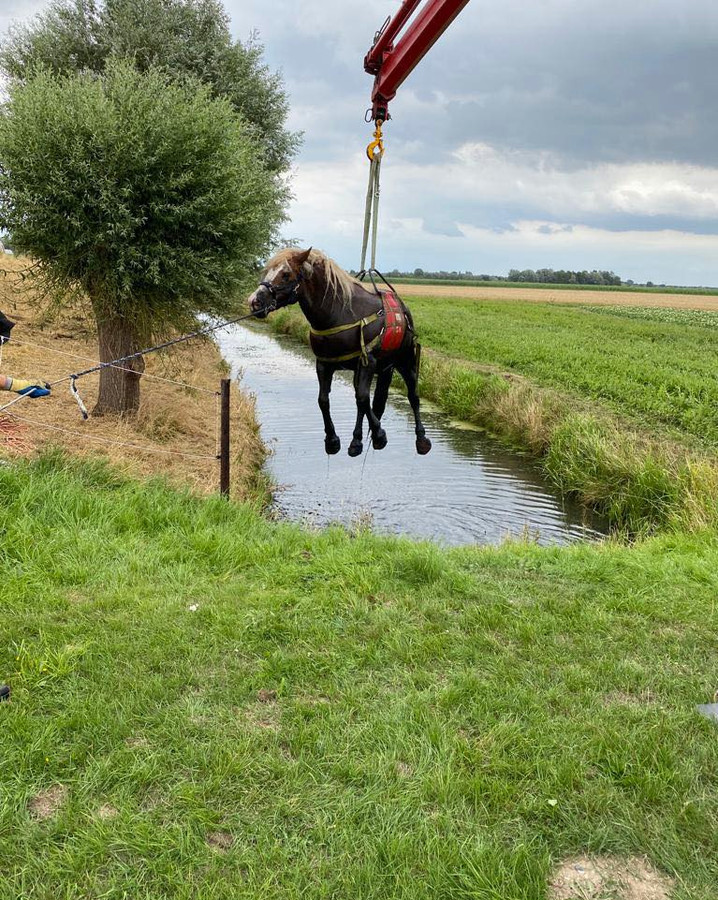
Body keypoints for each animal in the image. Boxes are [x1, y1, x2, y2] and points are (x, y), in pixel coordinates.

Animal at [248, 247, 432, 457]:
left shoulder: (368, 362)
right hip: (381, 367)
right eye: (267, 271)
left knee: (412, 396)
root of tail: (402, 308)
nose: (254, 302)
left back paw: (421, 439)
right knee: (362, 402)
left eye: (286, 274)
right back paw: (356, 441)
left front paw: (379, 434)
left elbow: (363, 398)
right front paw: (332, 440)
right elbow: (325, 400)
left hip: (405, 360)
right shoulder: (324, 364)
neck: (339, 313)